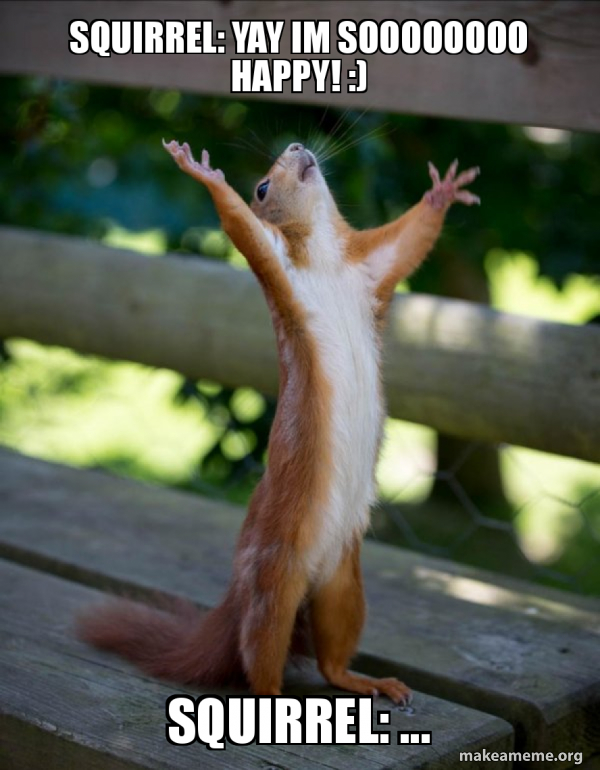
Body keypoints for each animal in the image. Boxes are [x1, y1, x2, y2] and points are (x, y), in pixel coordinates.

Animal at [78, 139, 479, 704]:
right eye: (262, 187)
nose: (296, 146)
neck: (327, 258)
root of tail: (238, 594)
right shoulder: (277, 264)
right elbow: (240, 226)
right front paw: (204, 173)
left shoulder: (372, 267)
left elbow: (410, 239)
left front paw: (442, 192)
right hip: (273, 584)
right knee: (259, 659)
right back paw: (277, 698)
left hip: (344, 586)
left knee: (332, 657)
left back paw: (367, 680)